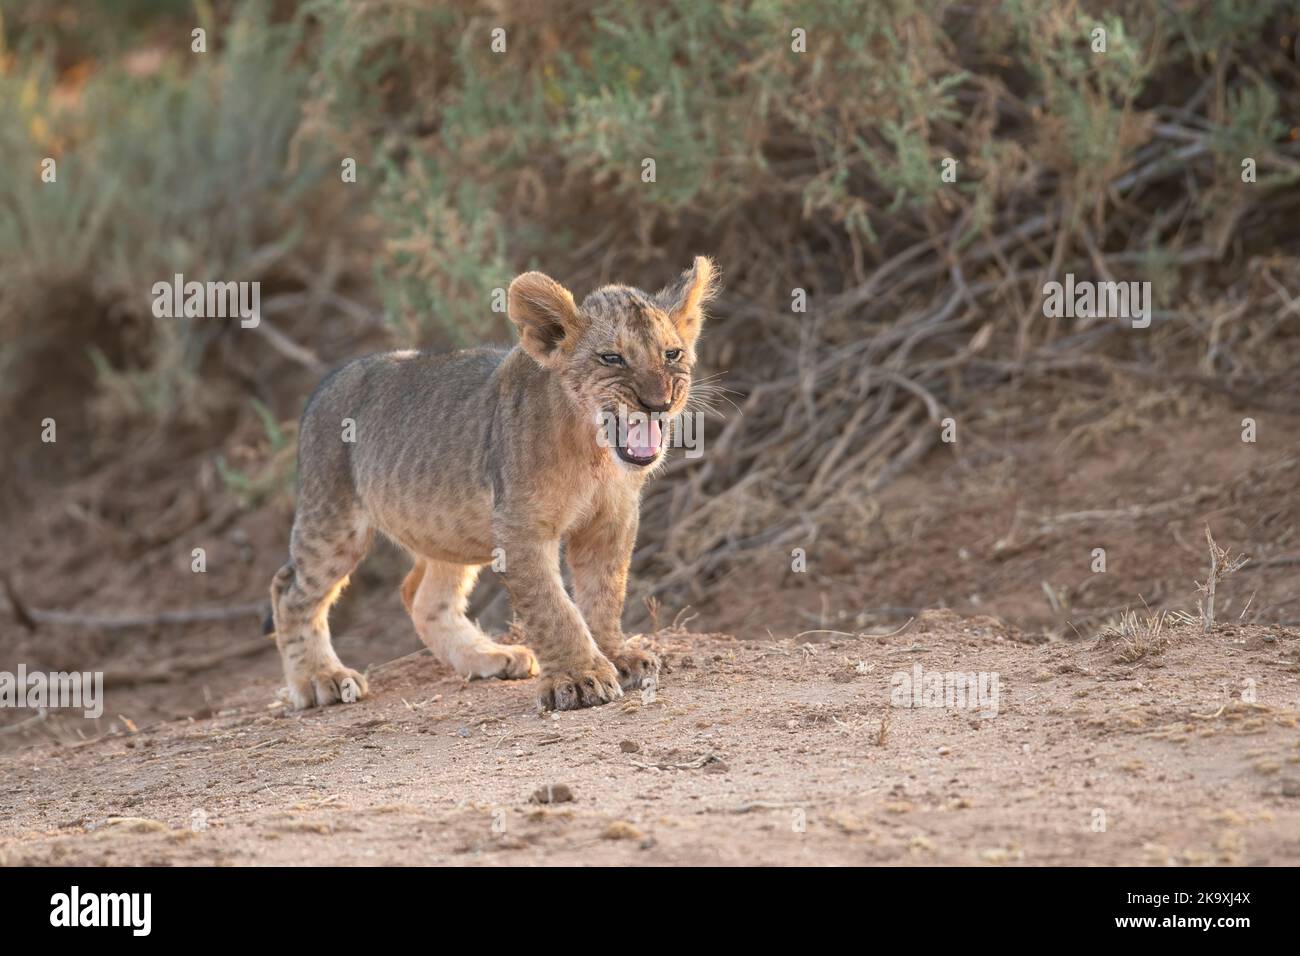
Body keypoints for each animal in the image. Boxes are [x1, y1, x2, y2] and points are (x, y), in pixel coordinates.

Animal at [267, 256, 719, 711]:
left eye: (672, 353)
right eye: (612, 358)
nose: (659, 402)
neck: (594, 453)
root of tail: (329, 381)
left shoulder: (612, 521)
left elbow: (605, 593)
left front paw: (617, 655)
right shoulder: (521, 528)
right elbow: (553, 608)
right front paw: (579, 678)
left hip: (447, 528)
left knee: (422, 596)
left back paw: (486, 656)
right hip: (334, 519)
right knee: (290, 589)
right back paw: (320, 679)